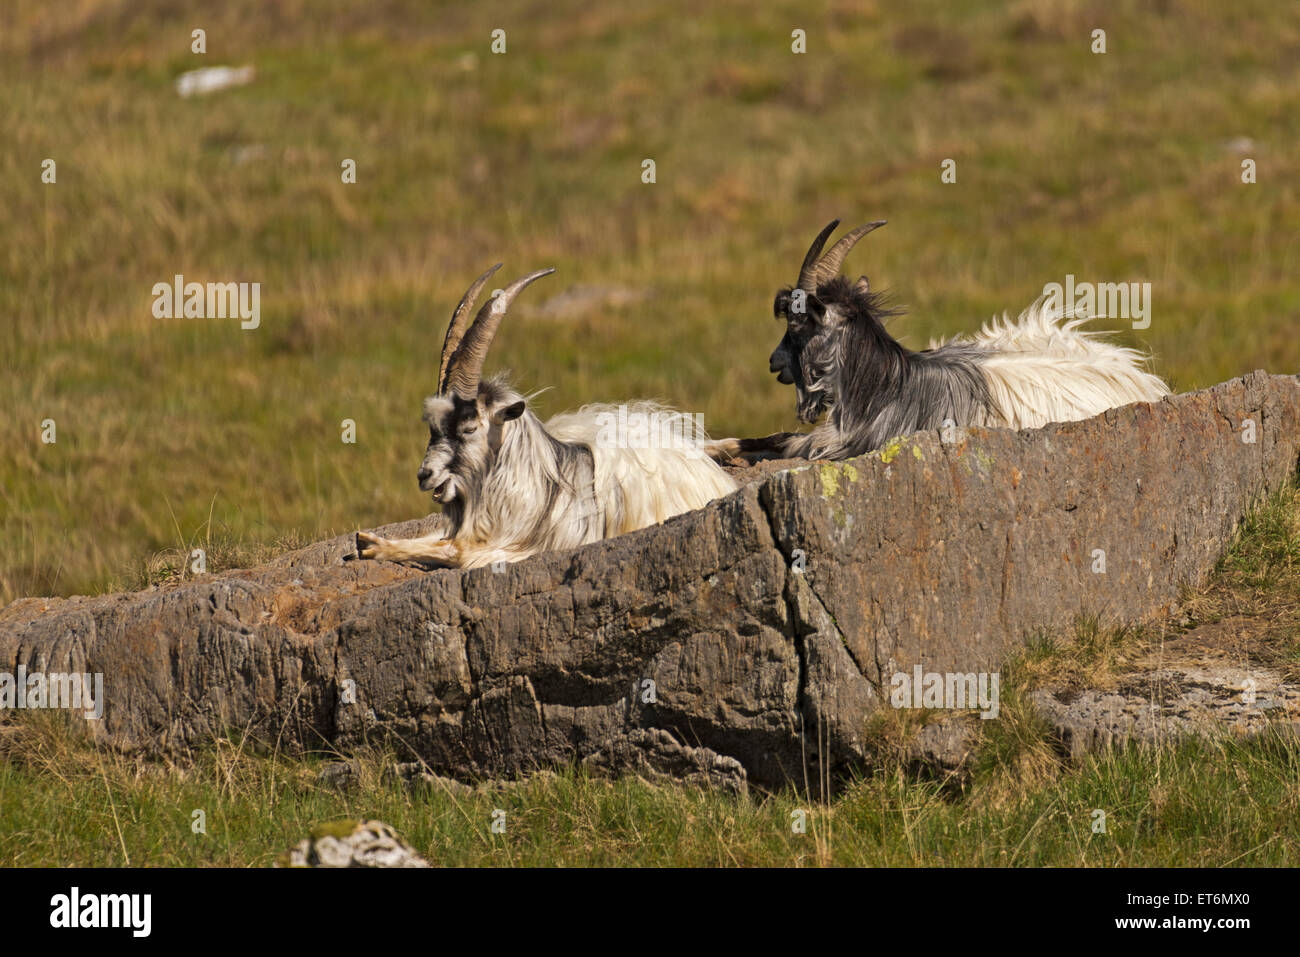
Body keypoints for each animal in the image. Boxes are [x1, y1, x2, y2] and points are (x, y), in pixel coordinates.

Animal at [354, 264, 737, 569]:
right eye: (432, 427)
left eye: (469, 427)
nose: (424, 475)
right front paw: (368, 541)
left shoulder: (518, 547)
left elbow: (456, 551)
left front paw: (375, 546)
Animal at [713, 219, 1170, 461]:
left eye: (795, 326)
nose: (773, 361)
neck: (886, 389)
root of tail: (1143, 379)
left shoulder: (839, 445)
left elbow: (782, 442)